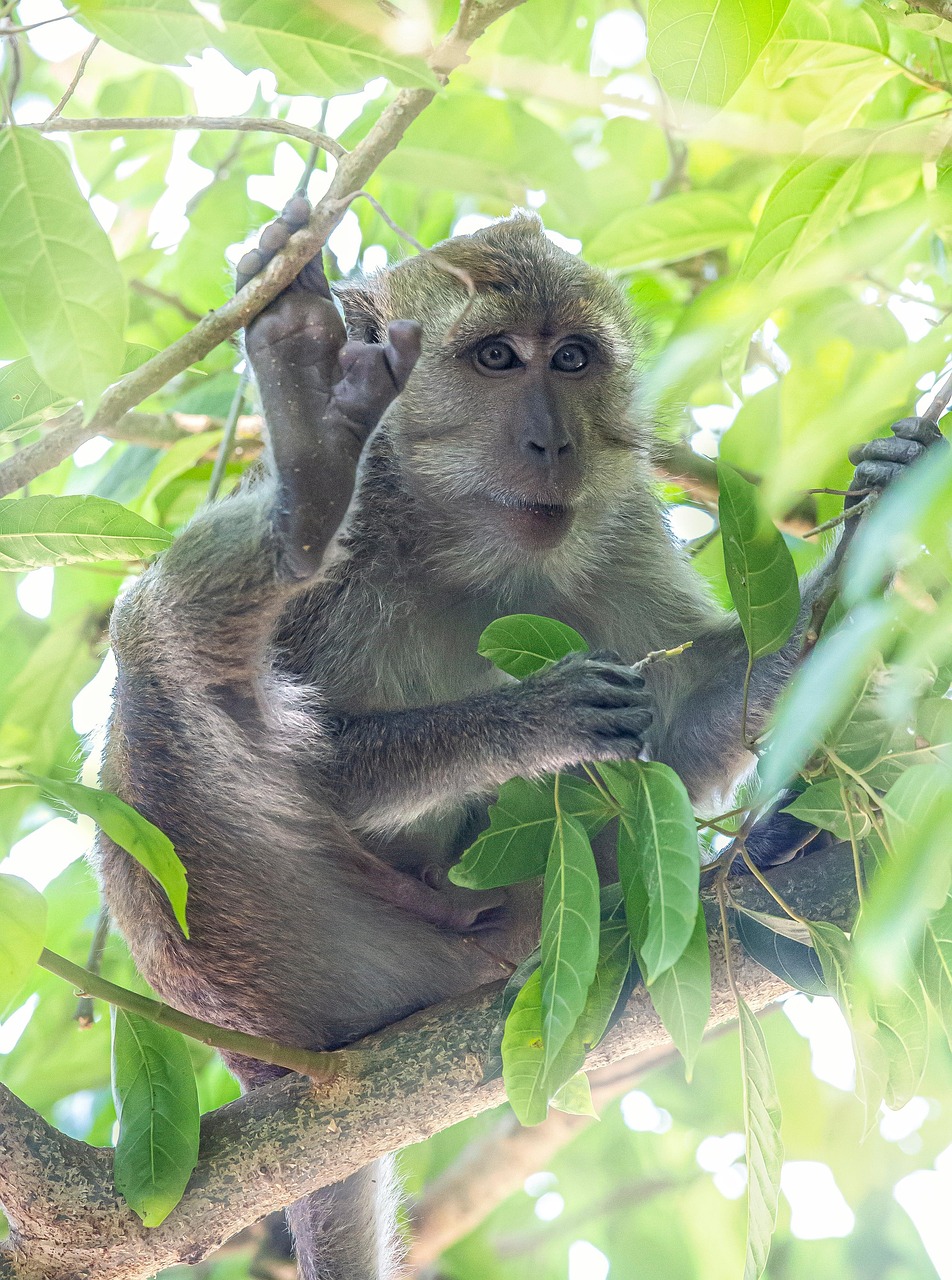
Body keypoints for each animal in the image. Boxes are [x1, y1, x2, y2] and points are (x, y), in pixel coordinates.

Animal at [95, 196, 943, 1280]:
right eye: (496, 357)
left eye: (573, 360)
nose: (553, 444)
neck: (457, 540)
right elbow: (309, 768)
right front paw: (524, 722)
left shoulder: (623, 527)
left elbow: (685, 734)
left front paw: (842, 576)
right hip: (265, 948)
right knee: (157, 652)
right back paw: (305, 470)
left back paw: (780, 846)